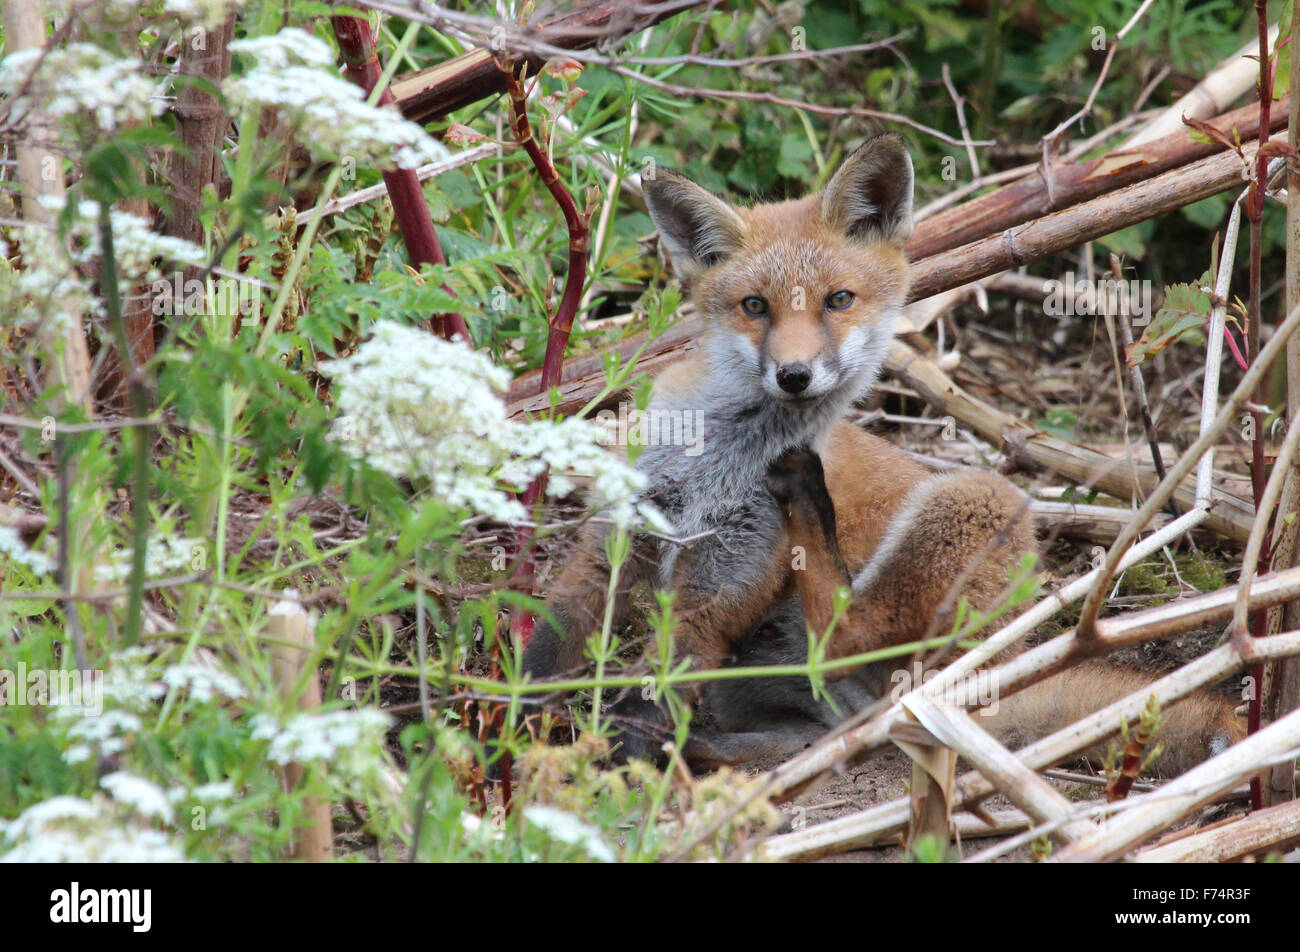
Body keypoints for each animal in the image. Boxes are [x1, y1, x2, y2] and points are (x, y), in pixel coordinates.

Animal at [520, 134, 1243, 775]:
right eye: (755, 306)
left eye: (839, 300)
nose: (794, 375)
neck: (716, 464)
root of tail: (1009, 660)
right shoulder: (613, 538)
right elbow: (550, 641)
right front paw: (509, 728)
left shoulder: (721, 586)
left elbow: (656, 693)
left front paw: (605, 774)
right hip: (775, 686)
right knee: (811, 725)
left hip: (973, 501)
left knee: (845, 626)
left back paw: (810, 503)